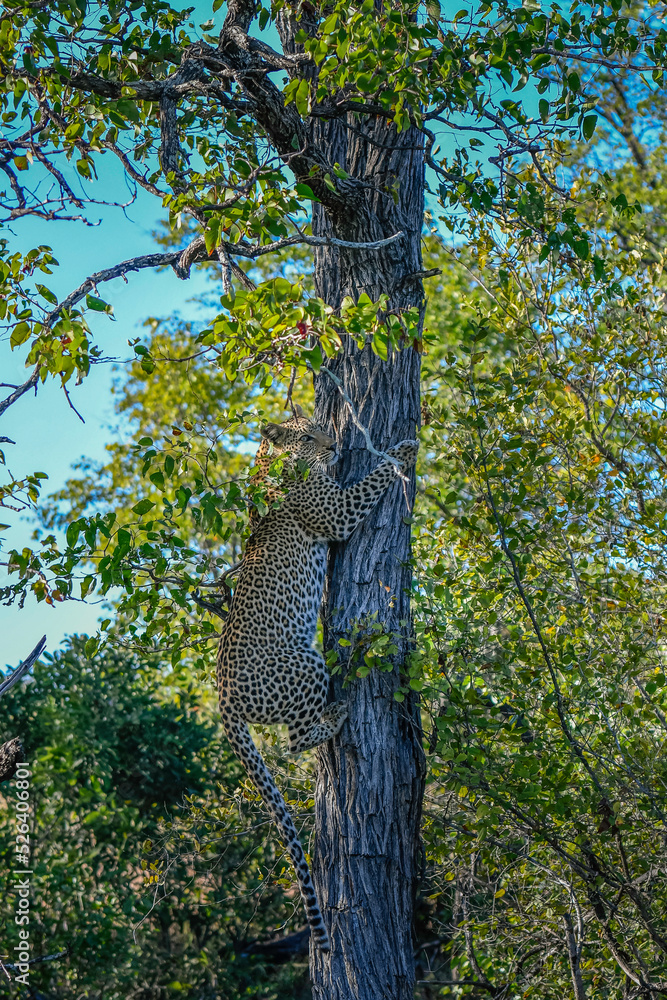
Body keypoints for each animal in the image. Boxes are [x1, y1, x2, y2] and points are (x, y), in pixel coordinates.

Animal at [217, 408, 419, 952]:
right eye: (308, 436)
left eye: (320, 426)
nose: (334, 445)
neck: (272, 462)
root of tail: (221, 699)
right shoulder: (338, 512)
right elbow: (373, 477)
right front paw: (402, 448)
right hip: (306, 663)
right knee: (293, 741)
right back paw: (337, 714)